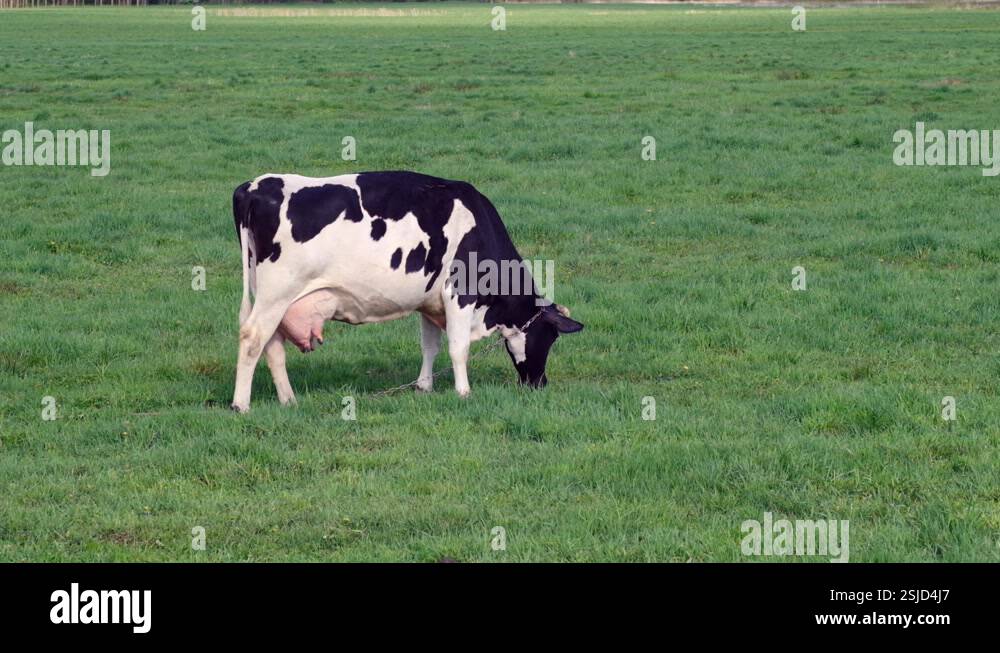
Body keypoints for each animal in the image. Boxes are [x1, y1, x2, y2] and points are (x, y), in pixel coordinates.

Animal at [230, 171, 584, 413]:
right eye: (550, 338)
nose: (539, 384)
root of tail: (254, 186)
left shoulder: (430, 301)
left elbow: (430, 347)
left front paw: (424, 386)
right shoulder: (460, 293)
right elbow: (458, 348)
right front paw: (463, 392)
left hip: (272, 297)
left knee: (272, 346)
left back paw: (289, 400)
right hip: (277, 292)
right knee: (253, 338)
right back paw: (241, 405)